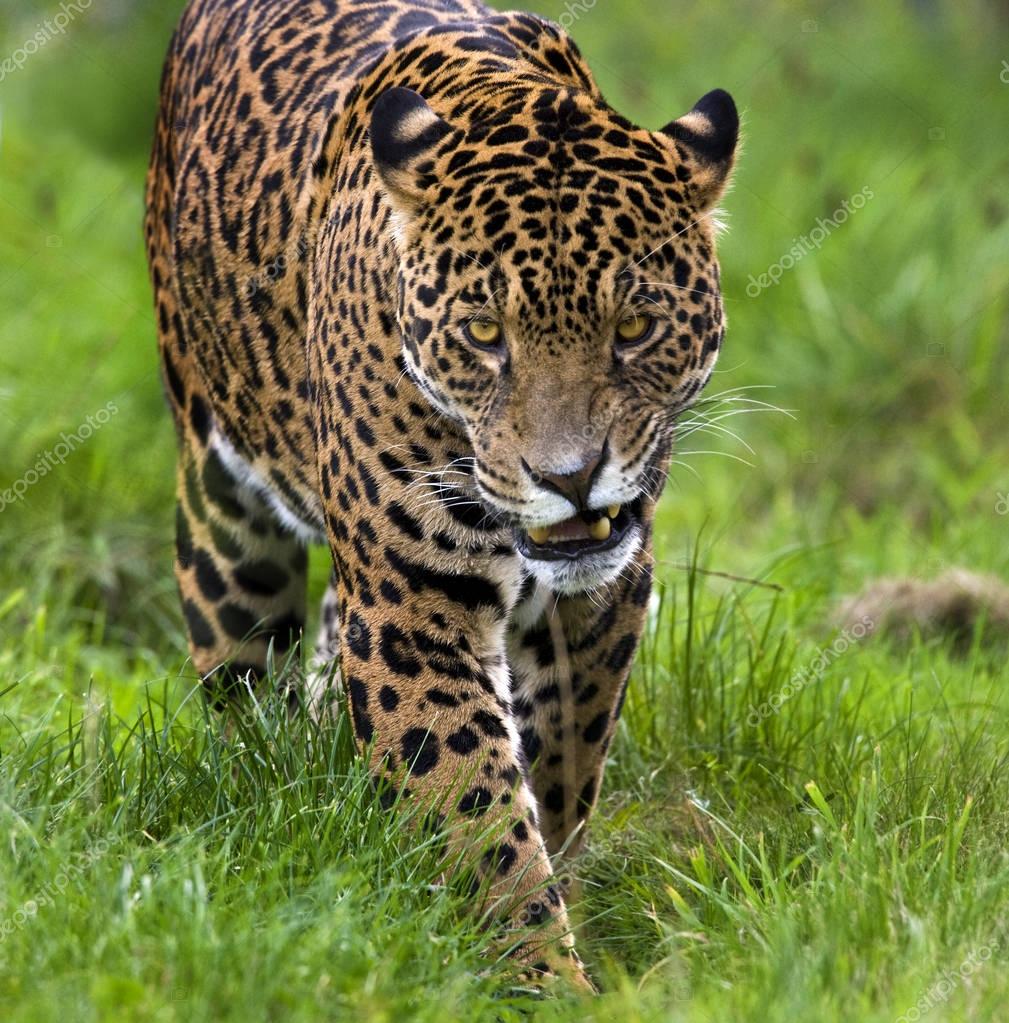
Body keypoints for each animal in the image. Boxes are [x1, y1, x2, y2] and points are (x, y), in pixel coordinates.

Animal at [145, 0, 738, 989]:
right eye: (484, 334)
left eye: (634, 326)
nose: (569, 475)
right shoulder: (413, 605)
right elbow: (476, 812)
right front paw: (542, 977)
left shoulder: (607, 592)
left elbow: (557, 764)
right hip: (225, 518)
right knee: (243, 679)